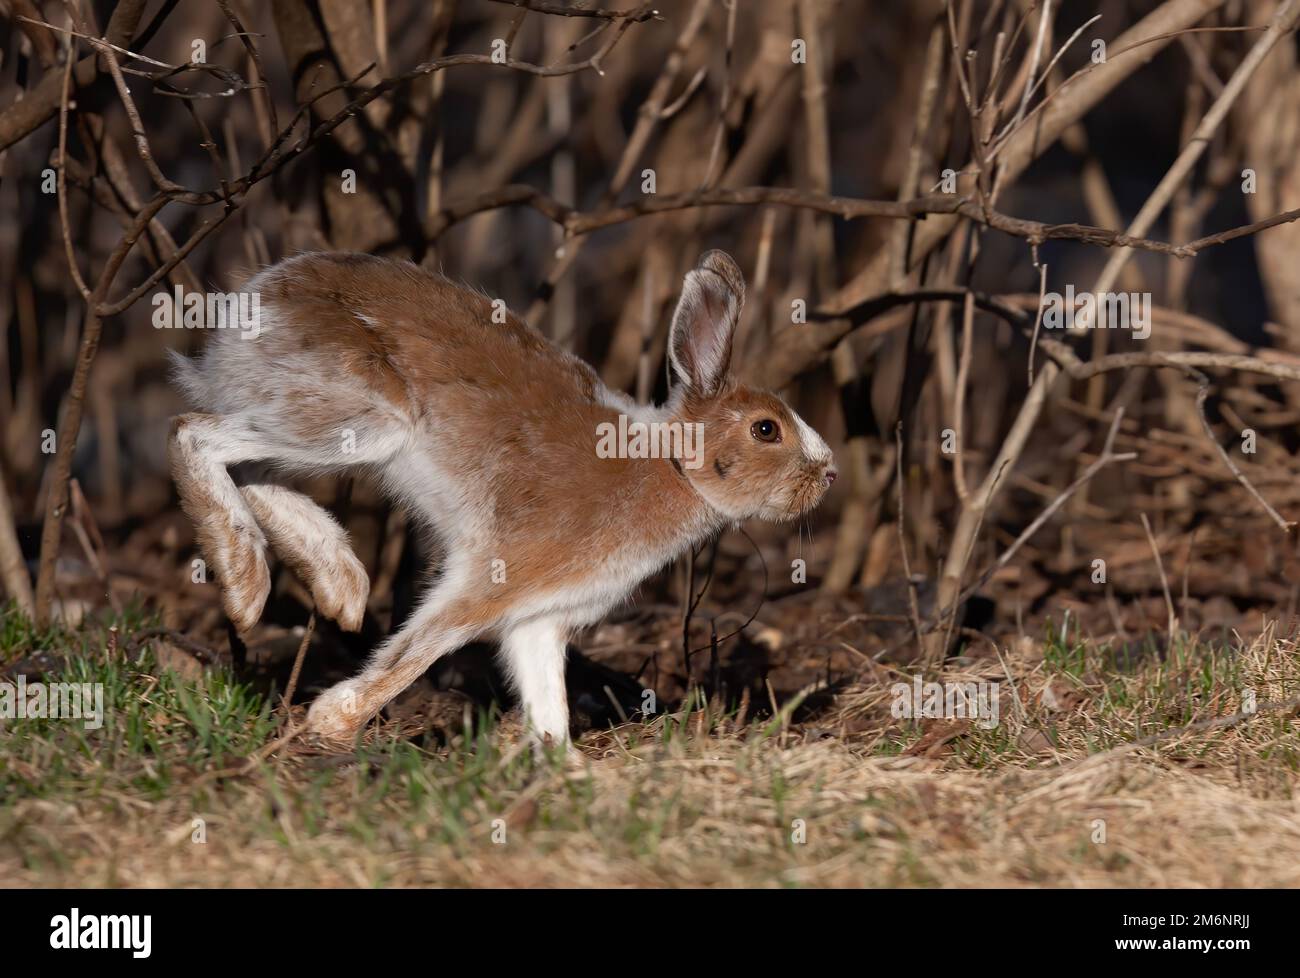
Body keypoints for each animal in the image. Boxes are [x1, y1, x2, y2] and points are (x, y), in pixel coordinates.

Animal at [169, 249, 836, 747]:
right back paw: (248, 585)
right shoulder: (492, 581)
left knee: (248, 463)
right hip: (365, 416)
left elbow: (549, 703)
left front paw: (564, 769)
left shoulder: (537, 621)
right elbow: (415, 651)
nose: (828, 474)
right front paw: (333, 722)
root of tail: (255, 300)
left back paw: (338, 584)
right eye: (766, 430)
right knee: (193, 432)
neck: (673, 466)